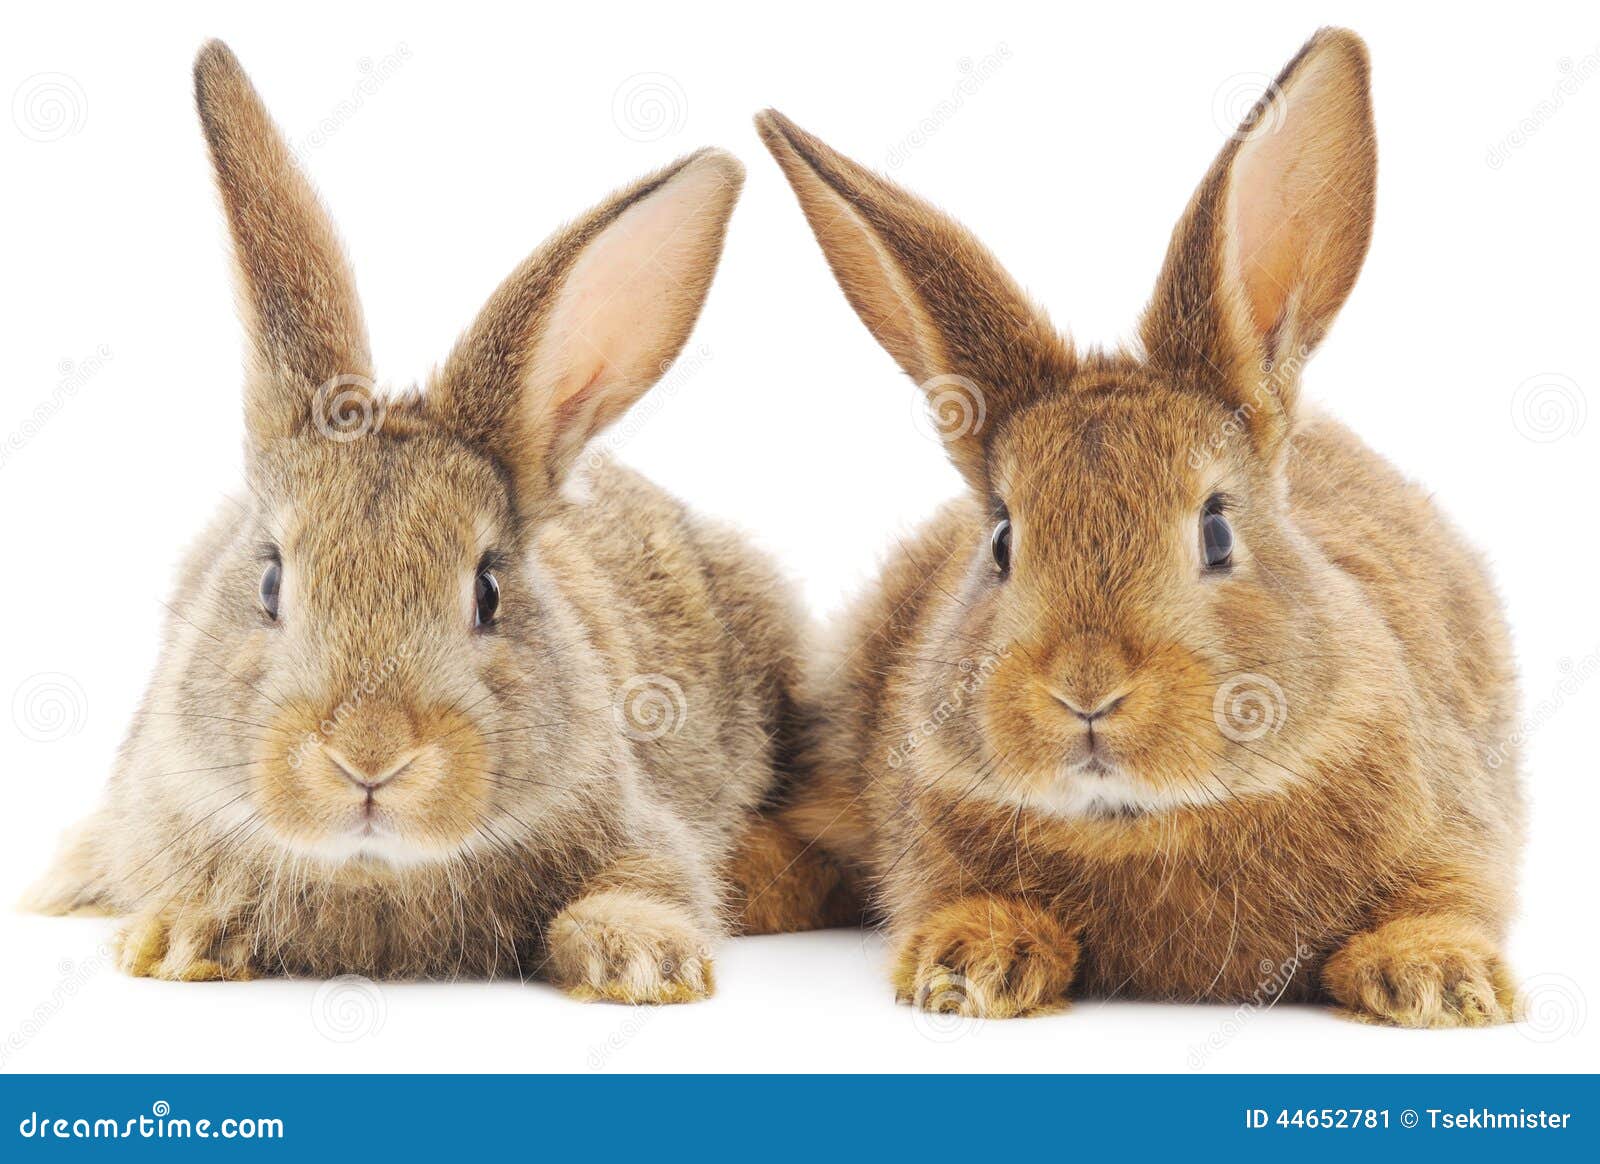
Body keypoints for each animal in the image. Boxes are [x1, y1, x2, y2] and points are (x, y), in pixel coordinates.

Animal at [20, 41, 809, 1005]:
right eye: (271, 581)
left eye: (489, 591)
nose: (370, 757)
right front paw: (181, 935)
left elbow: (642, 886)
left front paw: (644, 959)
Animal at [745, 28, 1525, 1027]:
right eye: (1001, 541)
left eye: (1218, 534)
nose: (1087, 690)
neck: (1148, 821)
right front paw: (973, 963)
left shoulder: (1464, 825)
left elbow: (1443, 904)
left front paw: (1438, 982)